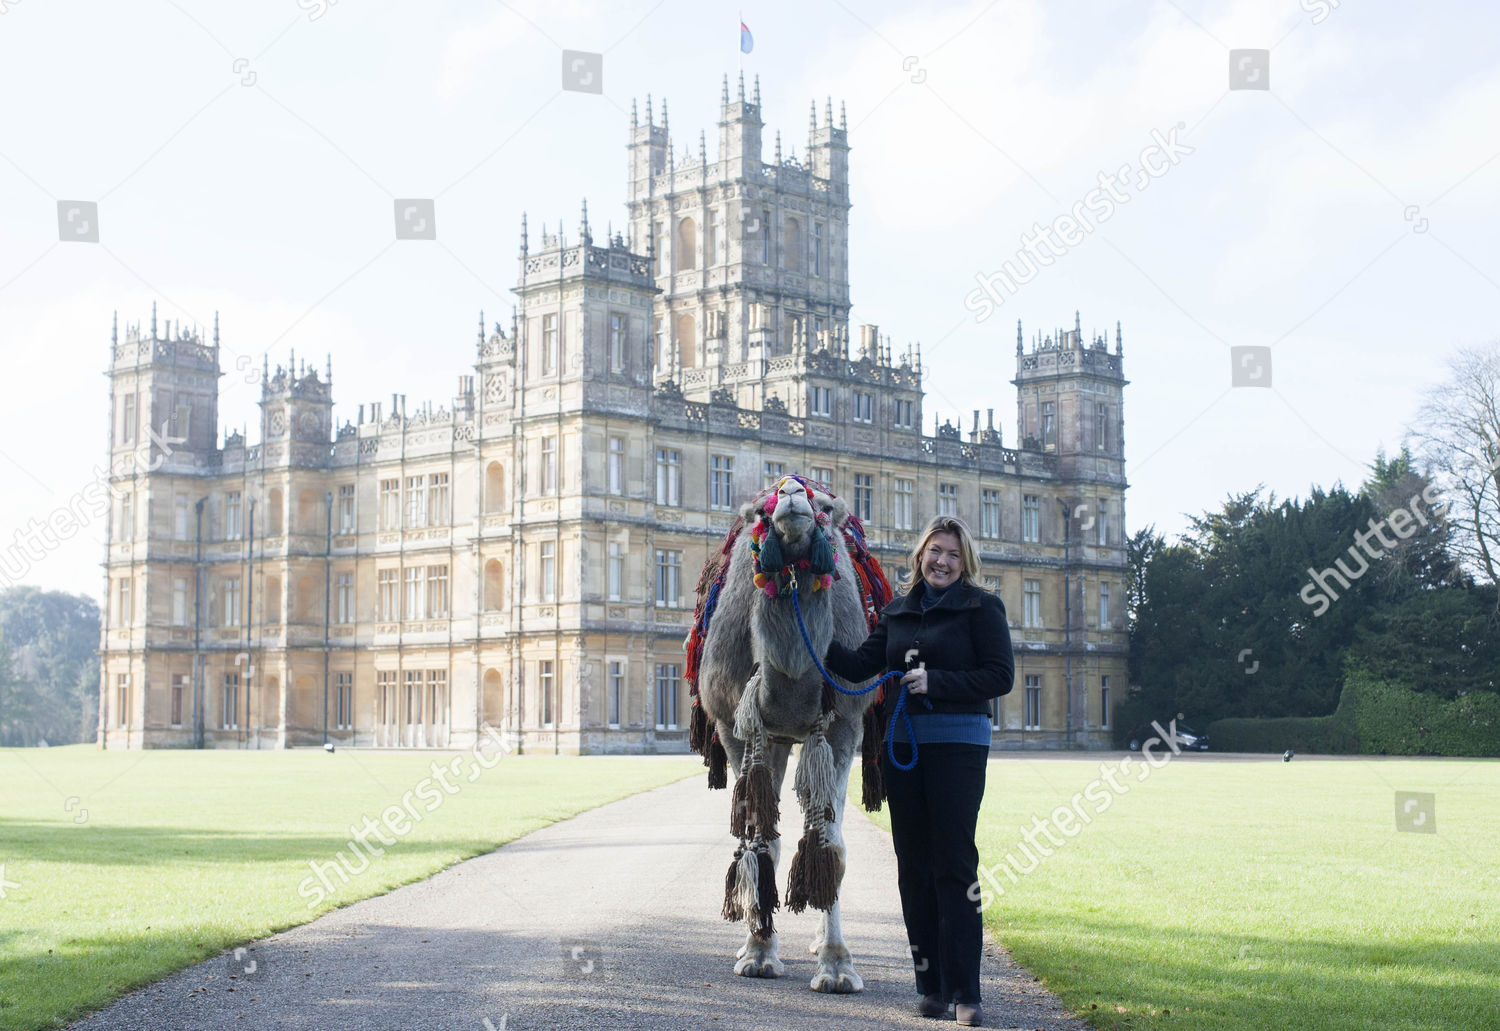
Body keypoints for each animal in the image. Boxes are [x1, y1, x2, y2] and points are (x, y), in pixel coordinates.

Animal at [684, 475, 894, 994]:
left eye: (824, 509)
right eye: (762, 511)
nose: (792, 495)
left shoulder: (843, 728)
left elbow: (830, 841)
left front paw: (838, 966)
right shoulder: (737, 729)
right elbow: (760, 841)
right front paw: (758, 953)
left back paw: (819, 942)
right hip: (775, 741)